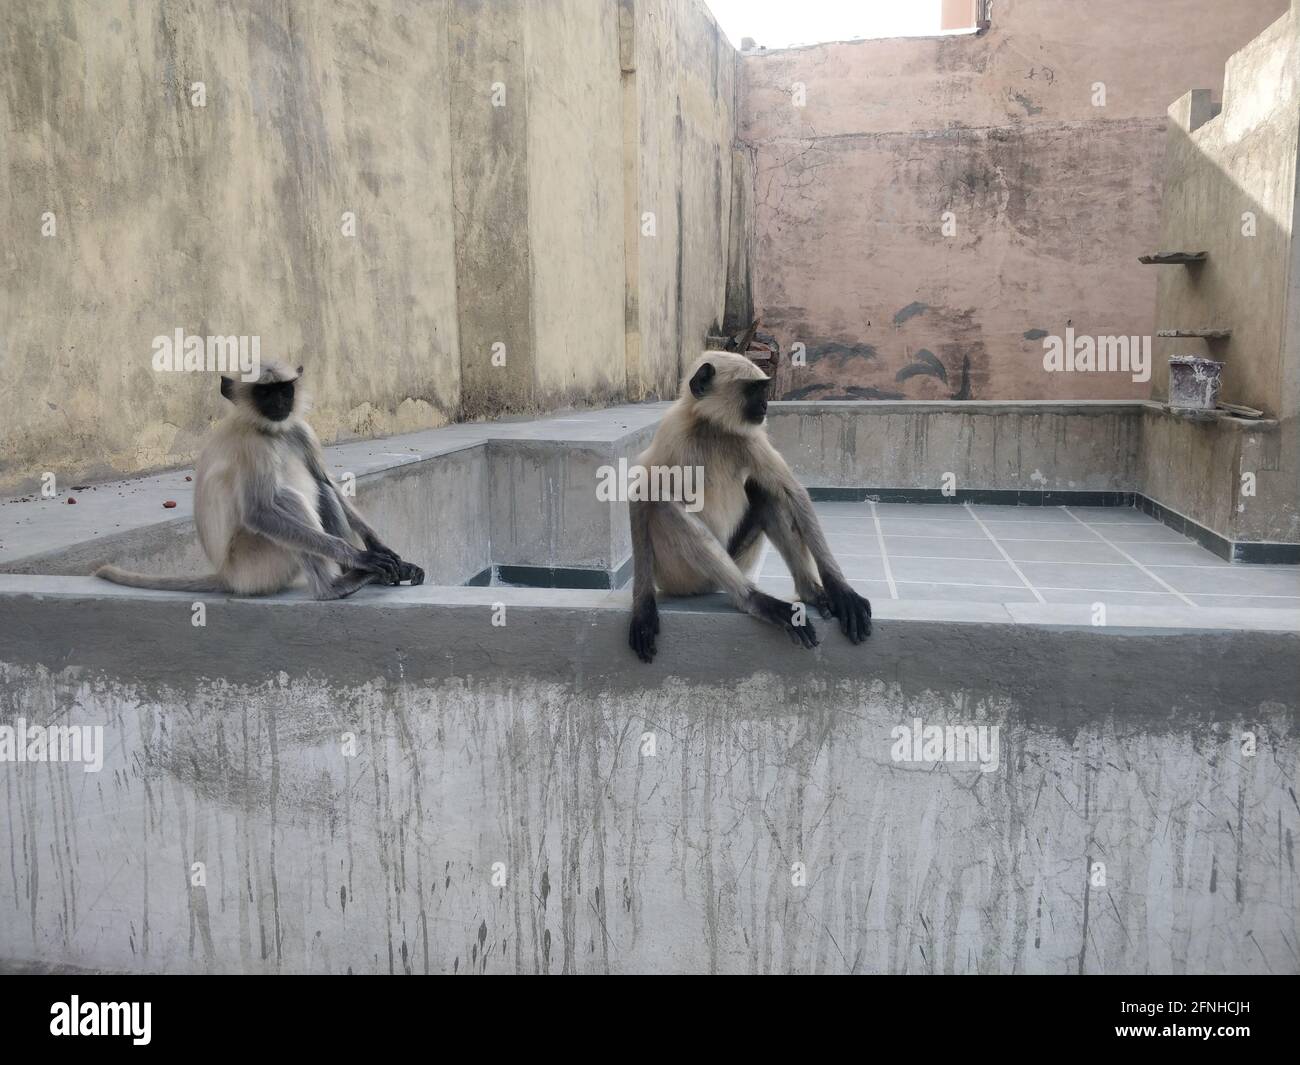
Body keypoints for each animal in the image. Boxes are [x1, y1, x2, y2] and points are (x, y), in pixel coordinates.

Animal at [95, 363, 423, 600]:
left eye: (284, 390)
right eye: (264, 393)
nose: (279, 402)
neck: (270, 431)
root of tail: (226, 575)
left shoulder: (300, 429)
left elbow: (327, 482)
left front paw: (380, 549)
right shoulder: (252, 447)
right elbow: (258, 512)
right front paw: (361, 557)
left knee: (320, 490)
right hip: (254, 565)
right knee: (286, 499)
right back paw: (334, 587)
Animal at [627, 351, 871, 662]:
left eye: (763, 390)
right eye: (754, 390)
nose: (766, 405)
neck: (712, 428)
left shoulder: (751, 438)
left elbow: (793, 493)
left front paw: (840, 589)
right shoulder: (670, 432)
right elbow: (641, 496)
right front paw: (643, 608)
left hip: (737, 557)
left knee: (766, 491)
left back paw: (809, 592)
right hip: (681, 576)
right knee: (663, 504)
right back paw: (754, 600)